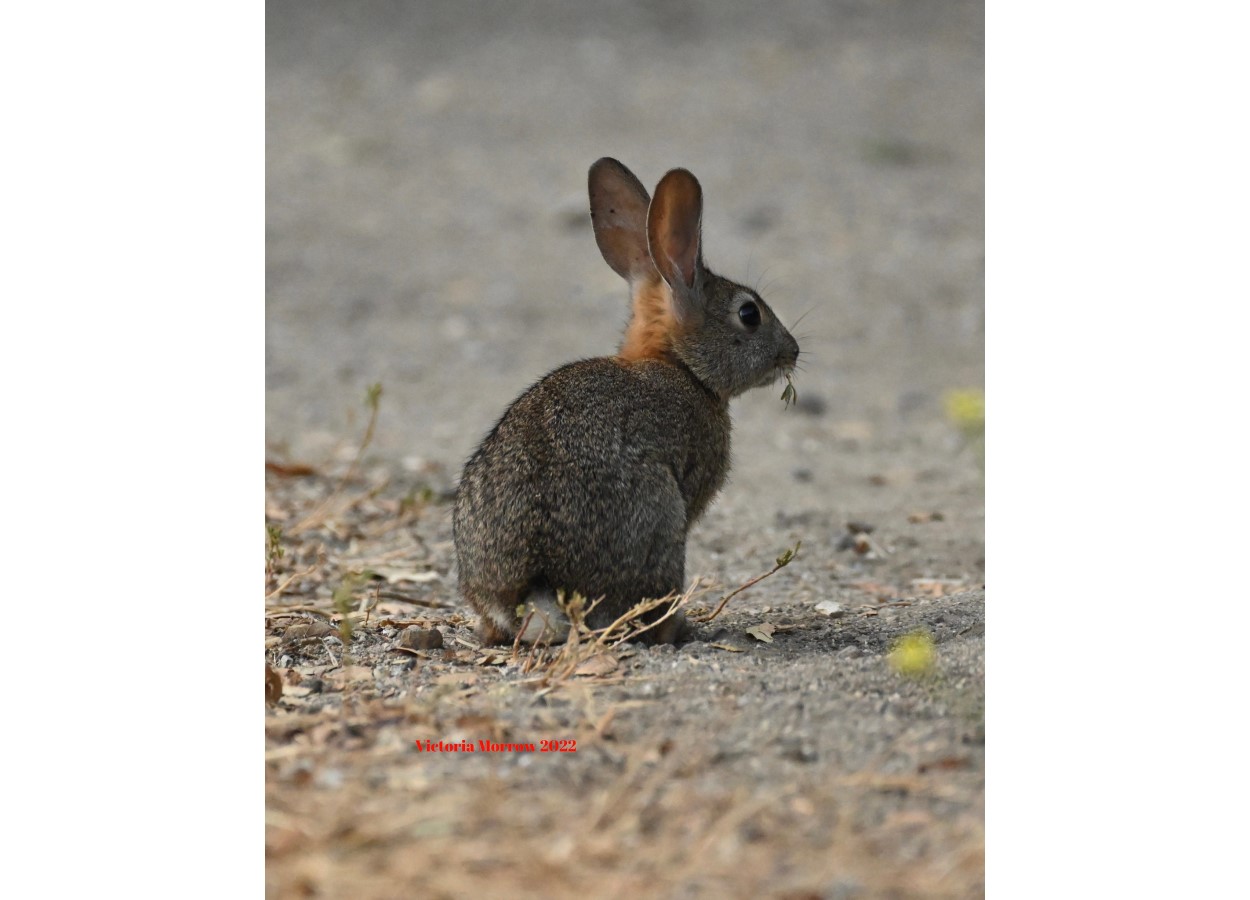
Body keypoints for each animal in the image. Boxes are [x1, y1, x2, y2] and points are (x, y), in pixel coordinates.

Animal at [453, 158, 799, 645]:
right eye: (749, 314)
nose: (793, 352)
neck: (679, 365)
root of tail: (538, 591)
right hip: (661, 520)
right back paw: (678, 627)